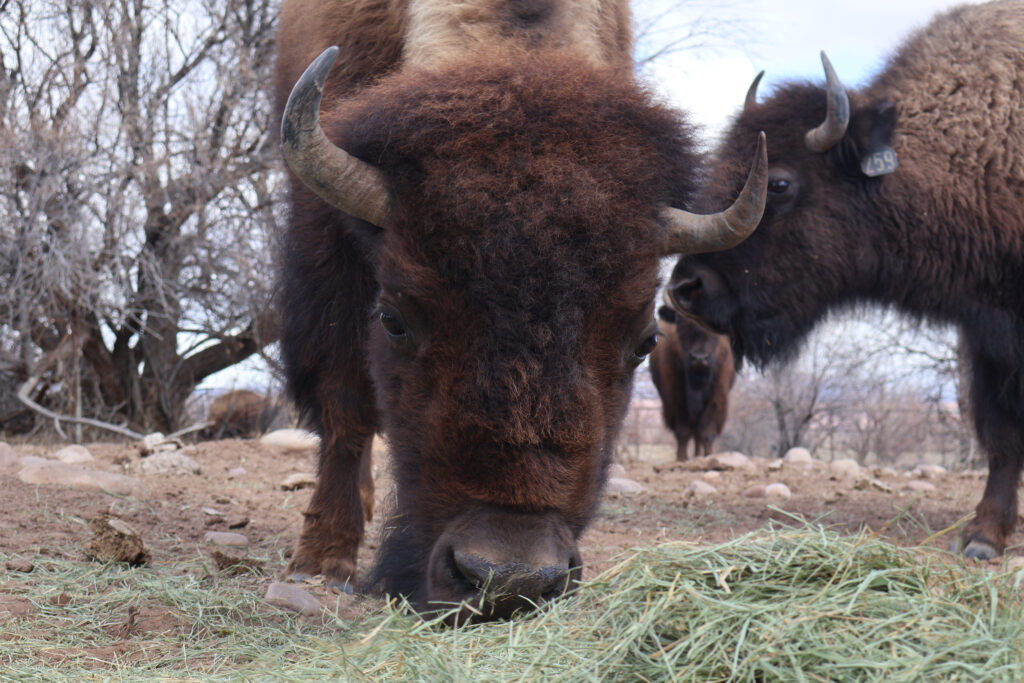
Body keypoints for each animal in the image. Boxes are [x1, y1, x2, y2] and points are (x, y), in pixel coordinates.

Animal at [275, 0, 768, 621]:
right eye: (394, 319)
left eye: (644, 341)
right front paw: (324, 560)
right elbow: (346, 404)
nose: (510, 579)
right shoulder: (326, 241)